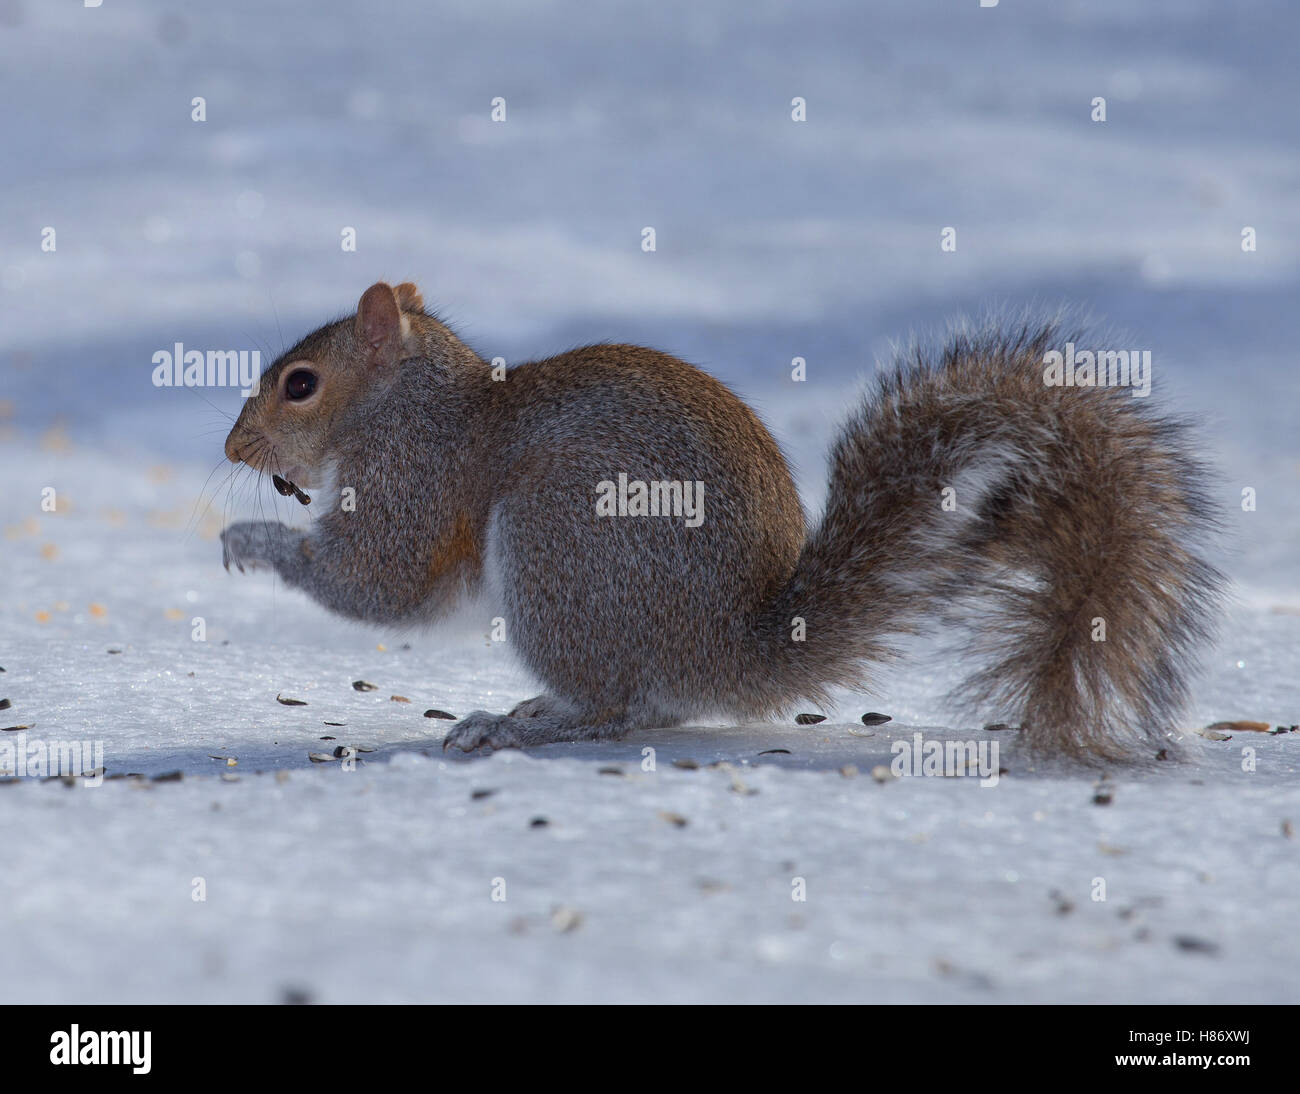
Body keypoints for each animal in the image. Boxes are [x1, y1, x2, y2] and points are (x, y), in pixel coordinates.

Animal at [221, 281, 1225, 761]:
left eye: (300, 384)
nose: (232, 448)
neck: (408, 401)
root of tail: (726, 646)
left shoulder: (415, 479)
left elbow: (379, 585)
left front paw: (250, 544)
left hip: (555, 544)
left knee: (618, 708)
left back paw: (516, 726)